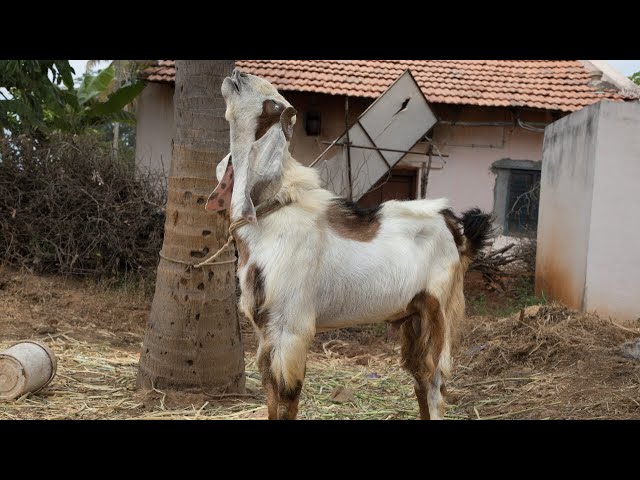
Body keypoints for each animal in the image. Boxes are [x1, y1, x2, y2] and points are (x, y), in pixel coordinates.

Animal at [205, 69, 492, 420]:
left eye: (273, 105)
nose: (238, 73)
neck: (270, 212)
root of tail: (455, 227)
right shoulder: (266, 330)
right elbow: (271, 395)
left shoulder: (291, 327)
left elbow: (286, 397)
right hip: (412, 316)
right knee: (421, 381)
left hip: (437, 311)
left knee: (436, 384)